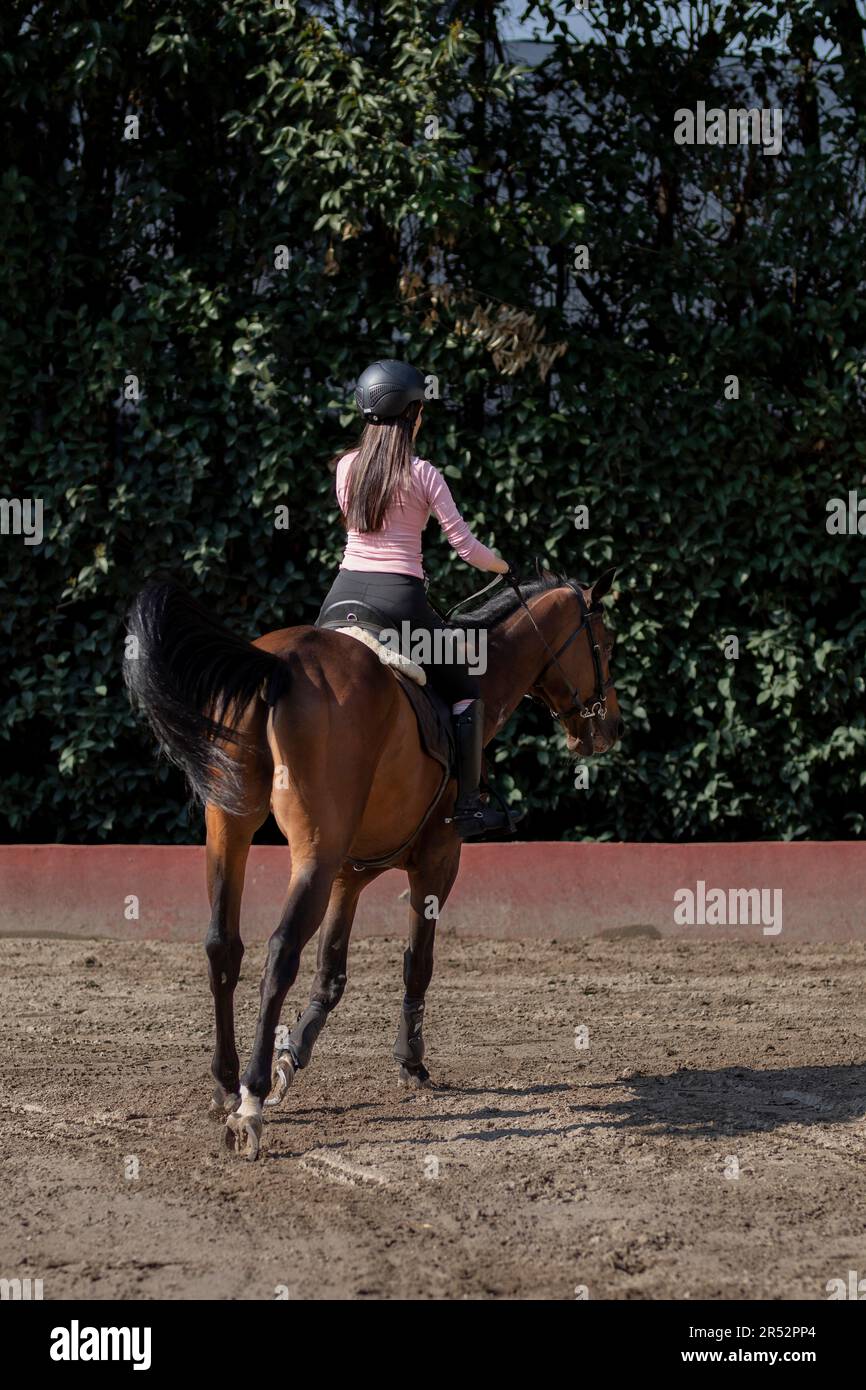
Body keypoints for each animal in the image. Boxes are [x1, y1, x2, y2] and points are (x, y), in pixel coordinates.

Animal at [124, 566, 622, 1158]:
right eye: (605, 644)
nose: (609, 729)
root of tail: (280, 664)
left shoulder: (350, 874)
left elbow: (330, 974)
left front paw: (293, 1056)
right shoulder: (437, 861)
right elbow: (416, 963)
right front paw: (410, 1062)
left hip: (230, 830)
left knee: (223, 944)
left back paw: (227, 1084)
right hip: (314, 853)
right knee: (280, 952)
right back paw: (250, 1103)